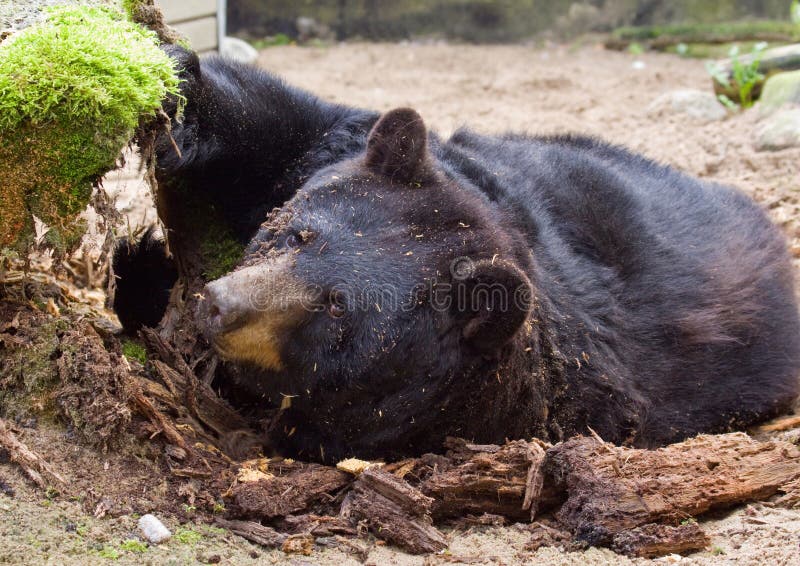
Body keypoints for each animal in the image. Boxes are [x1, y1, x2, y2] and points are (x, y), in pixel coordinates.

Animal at [114, 49, 800, 462]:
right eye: (297, 234)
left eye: (339, 313)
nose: (220, 306)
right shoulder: (343, 149)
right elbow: (279, 121)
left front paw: (143, 276)